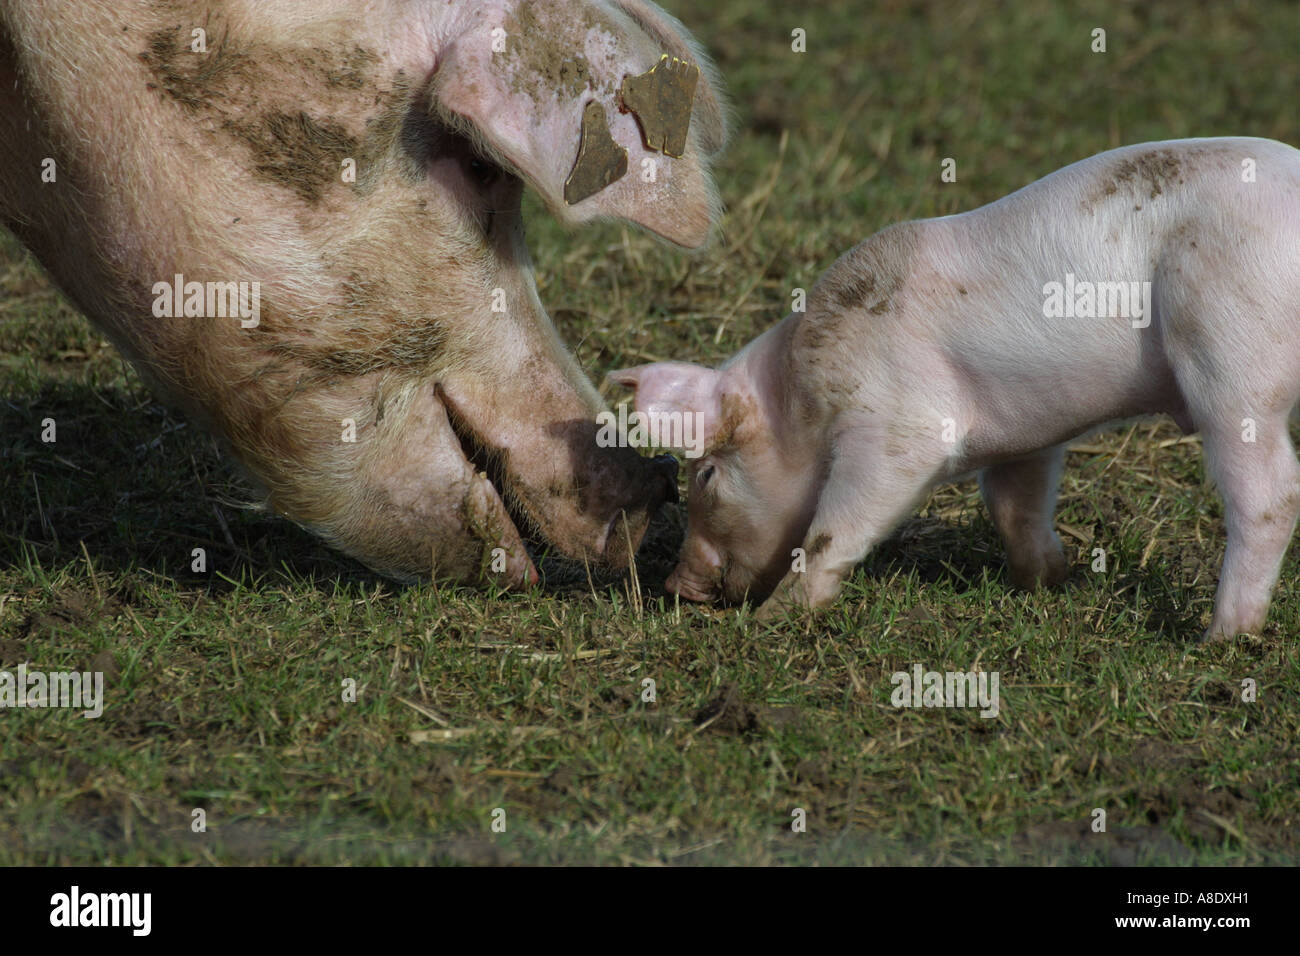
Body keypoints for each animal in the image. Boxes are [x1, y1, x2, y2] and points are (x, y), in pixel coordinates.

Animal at [612, 137, 1300, 642]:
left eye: (706, 476)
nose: (673, 587)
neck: (799, 395)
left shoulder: (896, 422)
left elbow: (839, 521)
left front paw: (774, 619)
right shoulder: (1028, 428)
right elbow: (1012, 502)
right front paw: (1050, 582)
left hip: (1231, 349)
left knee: (1272, 494)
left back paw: (1220, 636)